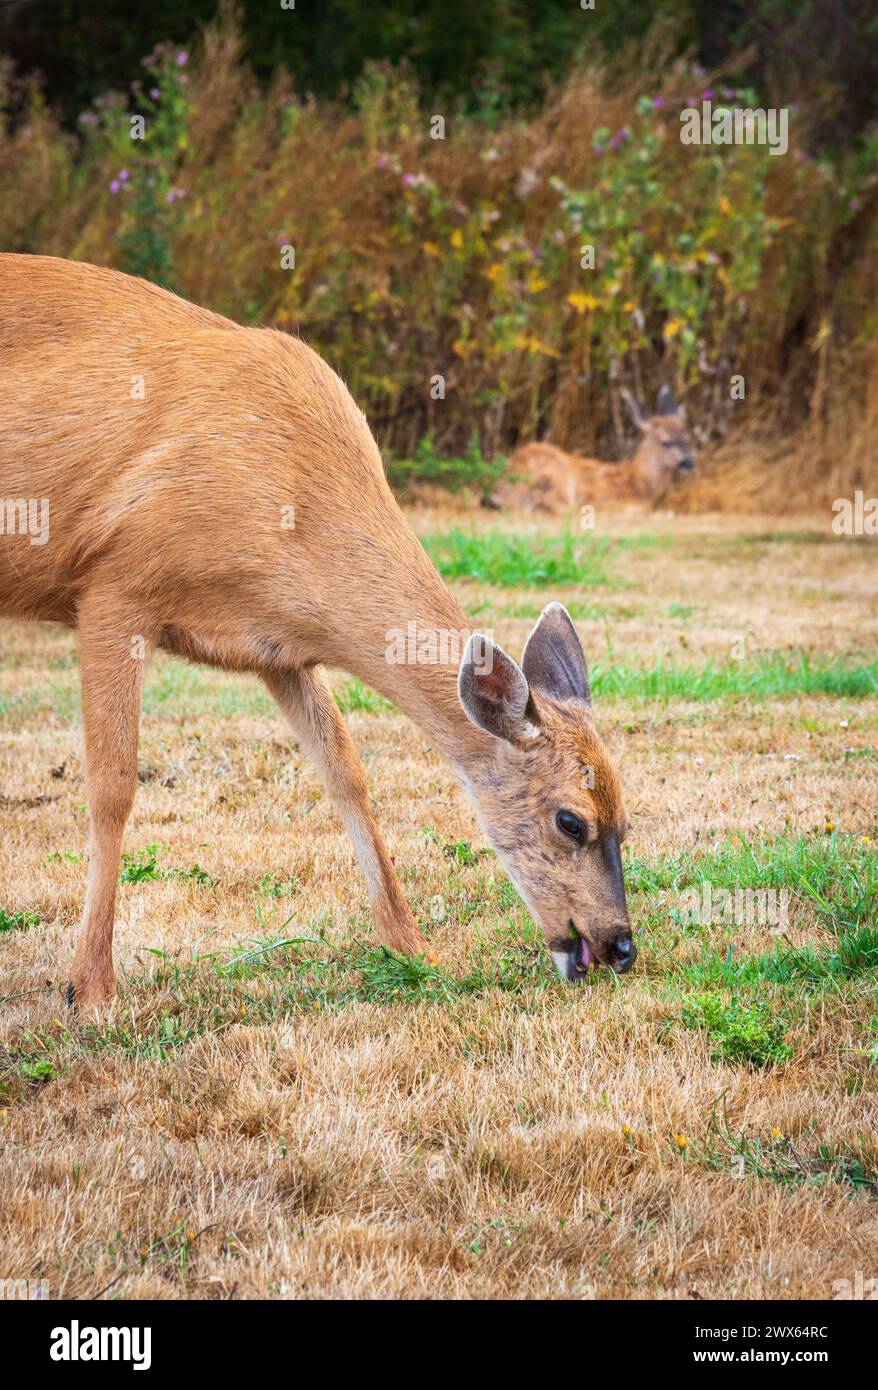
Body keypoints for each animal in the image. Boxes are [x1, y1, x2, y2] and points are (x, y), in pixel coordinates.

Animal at [0, 254, 636, 1014]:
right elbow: (113, 787)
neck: (294, 504)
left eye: (627, 814)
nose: (621, 946)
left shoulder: (280, 649)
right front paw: (90, 988)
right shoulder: (114, 585)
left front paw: (411, 945)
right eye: (572, 820)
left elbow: (346, 773)